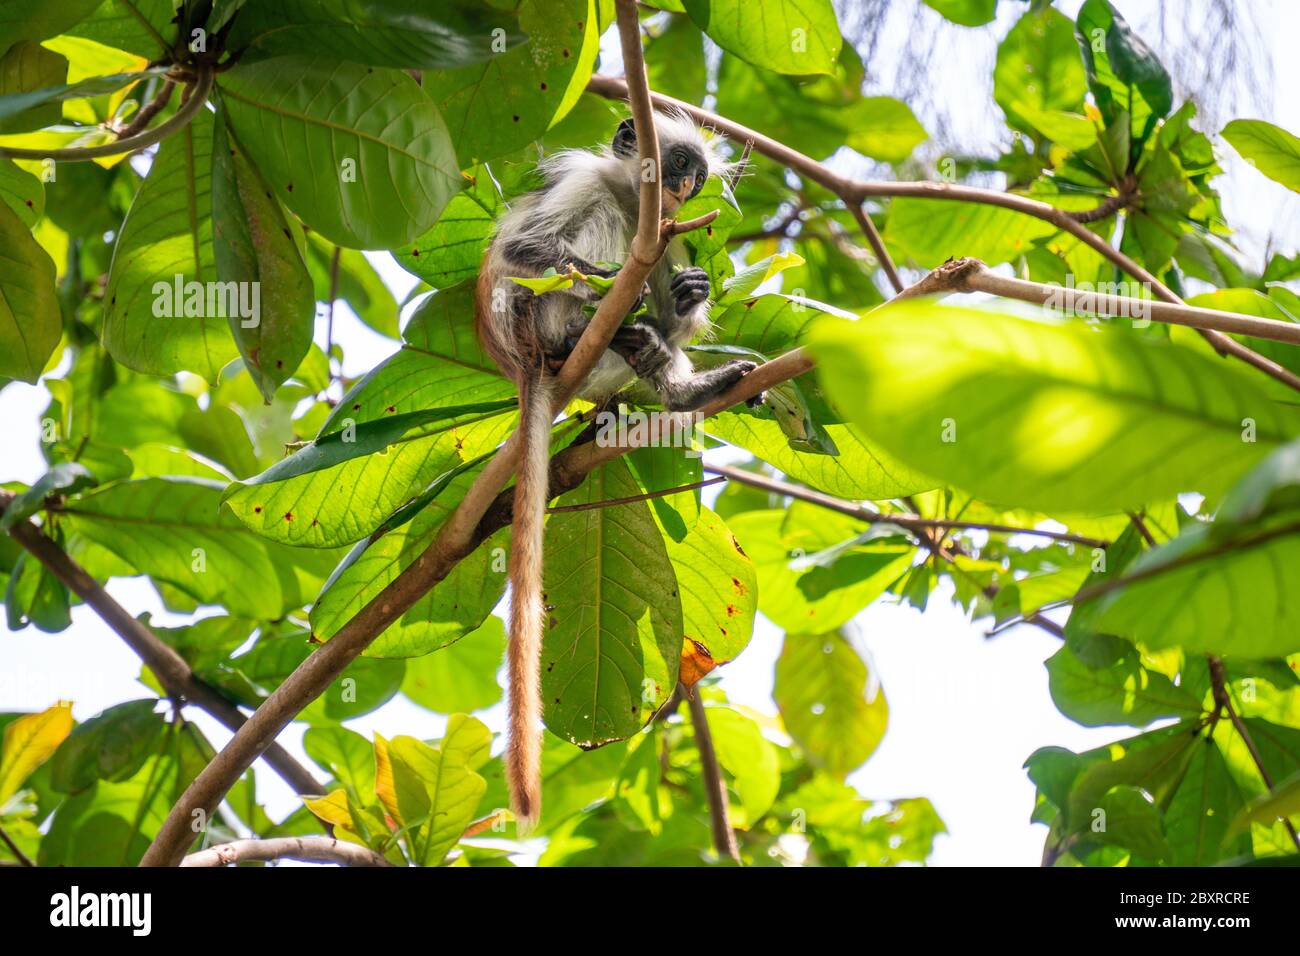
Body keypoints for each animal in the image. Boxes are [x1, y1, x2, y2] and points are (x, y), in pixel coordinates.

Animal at [474, 111, 757, 829]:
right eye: (677, 162)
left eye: (697, 176)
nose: (681, 187)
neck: (638, 198)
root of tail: (524, 358)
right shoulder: (586, 182)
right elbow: (526, 248)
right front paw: (597, 275)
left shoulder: (664, 235)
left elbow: (673, 280)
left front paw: (686, 302)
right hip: (536, 315)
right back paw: (589, 329)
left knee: (649, 320)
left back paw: (673, 372)